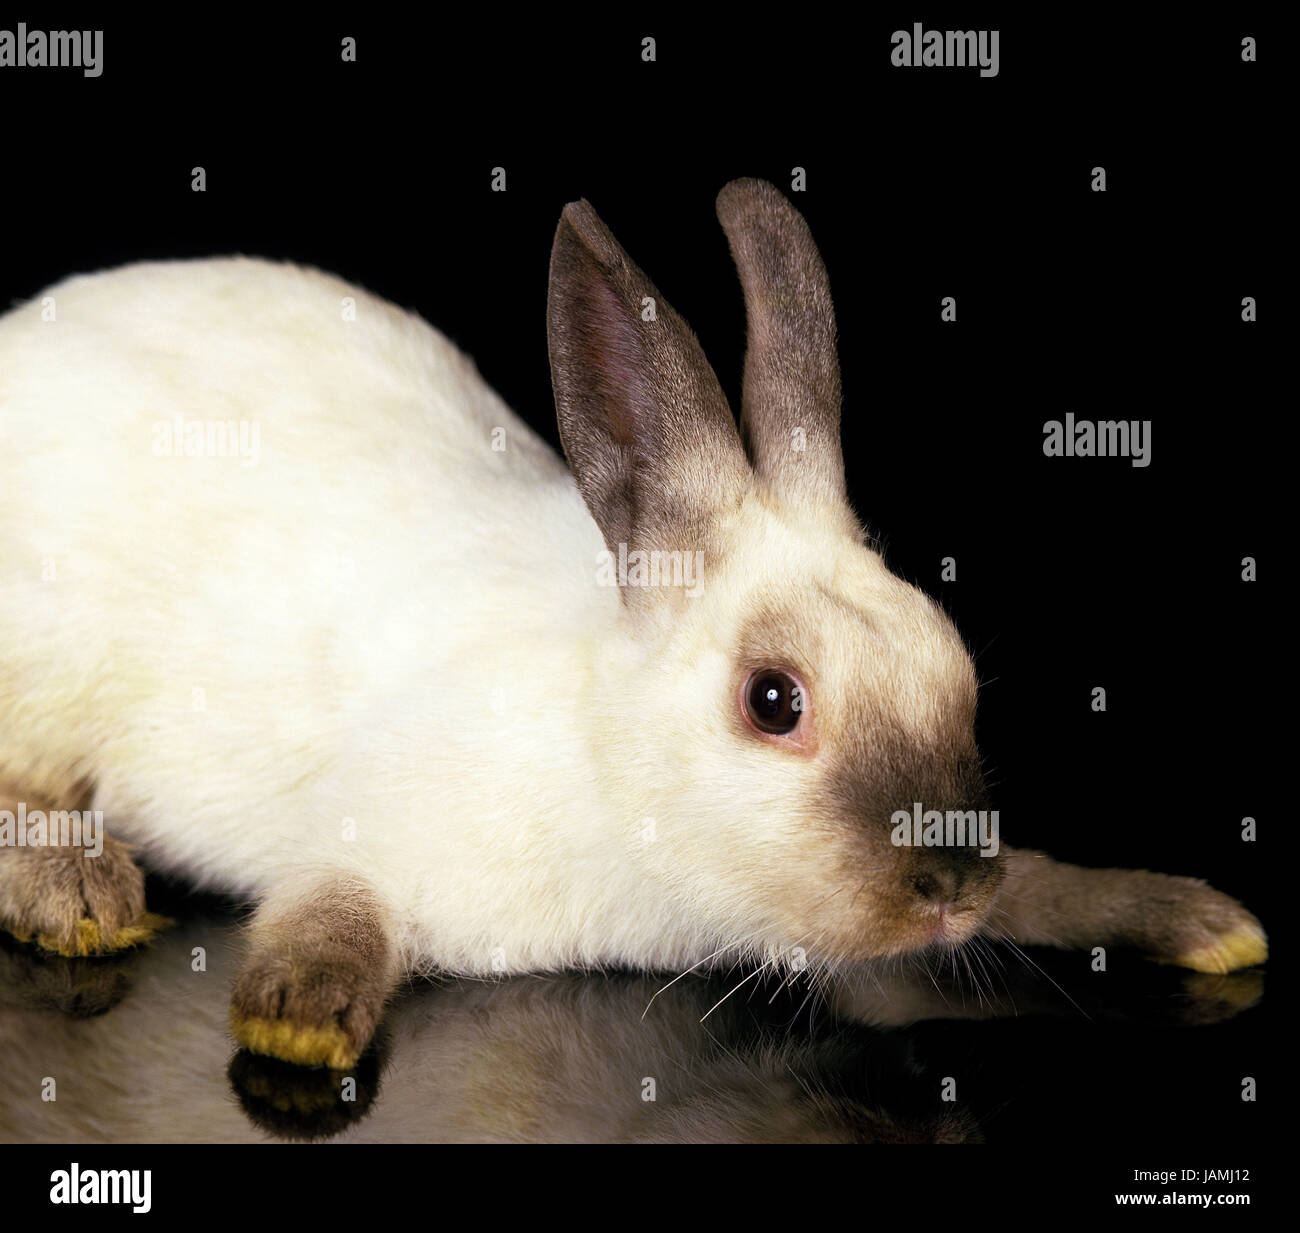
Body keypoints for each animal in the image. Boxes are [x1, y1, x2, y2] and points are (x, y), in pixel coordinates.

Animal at [0, 178, 1266, 1072]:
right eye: (772, 702)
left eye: (953, 667)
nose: (950, 889)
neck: (606, 751)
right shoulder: (367, 837)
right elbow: (331, 912)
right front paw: (298, 1025)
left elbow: (1041, 883)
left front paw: (1197, 921)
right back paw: (81, 896)